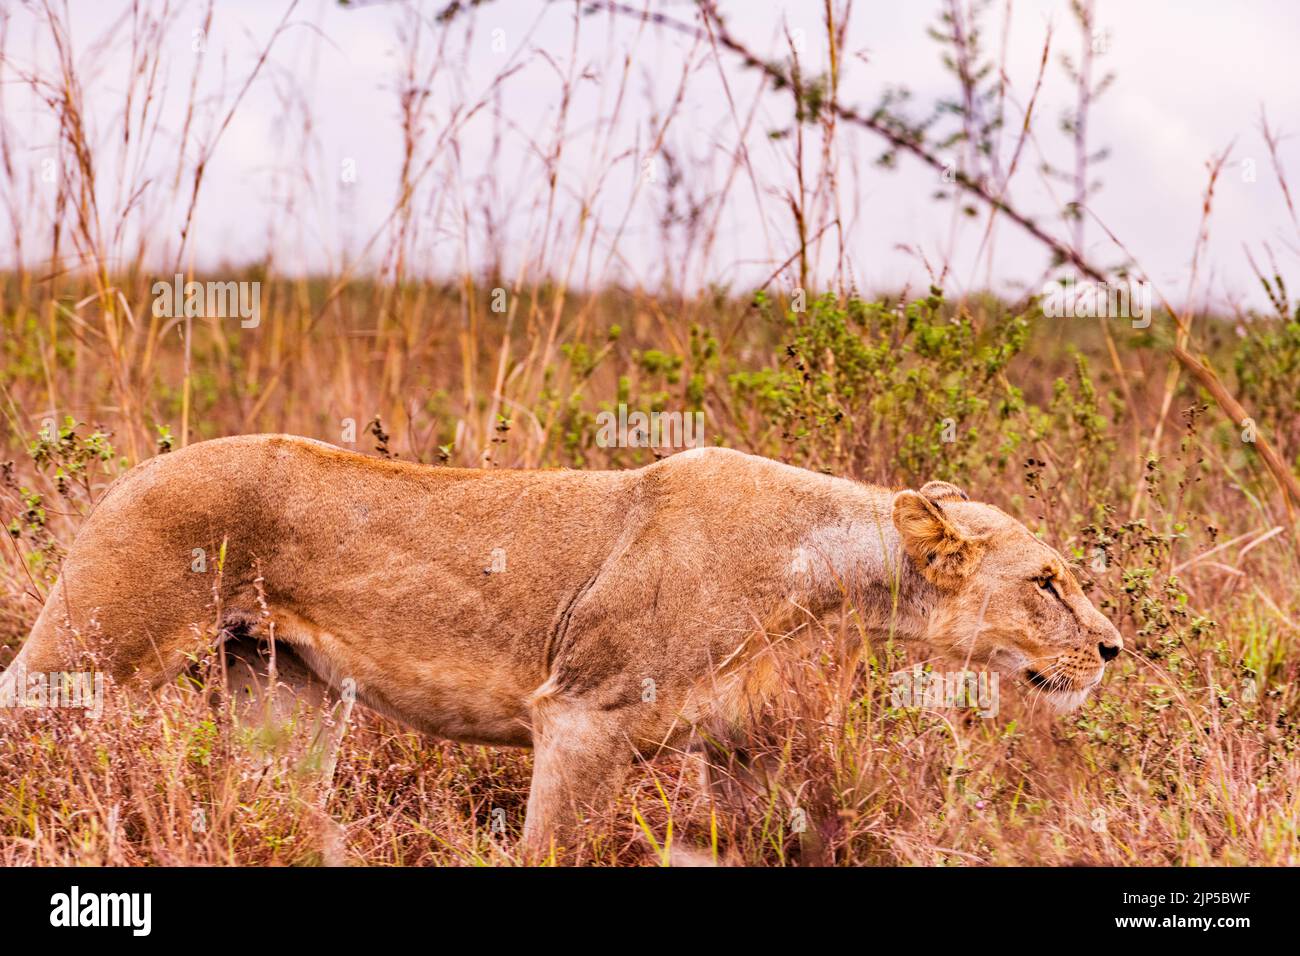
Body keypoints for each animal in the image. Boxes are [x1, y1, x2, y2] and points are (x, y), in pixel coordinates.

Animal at [0, 436, 1122, 855]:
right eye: (1048, 580)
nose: (1114, 650)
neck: (821, 576)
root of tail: (132, 470)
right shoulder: (583, 711)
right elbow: (555, 846)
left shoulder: (746, 750)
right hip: (91, 647)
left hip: (282, 694)